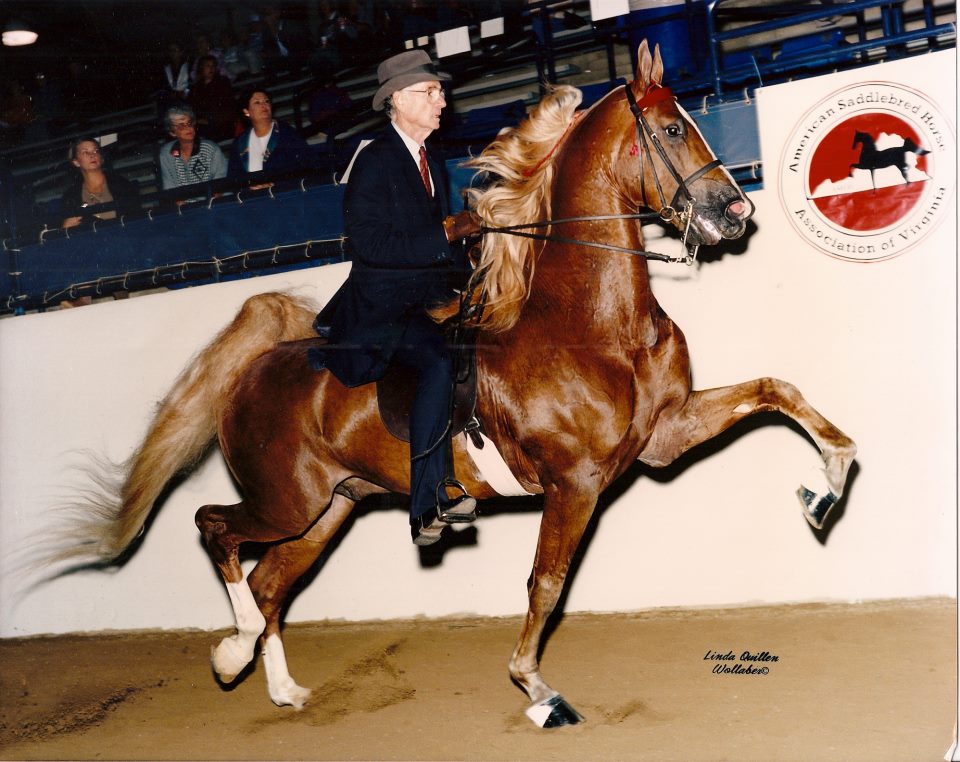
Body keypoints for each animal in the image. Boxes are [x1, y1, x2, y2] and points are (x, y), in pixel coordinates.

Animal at [52, 42, 856, 728]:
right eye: (668, 128)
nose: (735, 210)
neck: (593, 324)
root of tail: (256, 367)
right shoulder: (575, 482)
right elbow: (546, 583)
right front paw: (537, 690)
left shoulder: (665, 435)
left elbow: (777, 390)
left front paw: (827, 488)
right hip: (286, 500)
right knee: (216, 530)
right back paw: (231, 651)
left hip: (326, 511)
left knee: (269, 582)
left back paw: (279, 687)